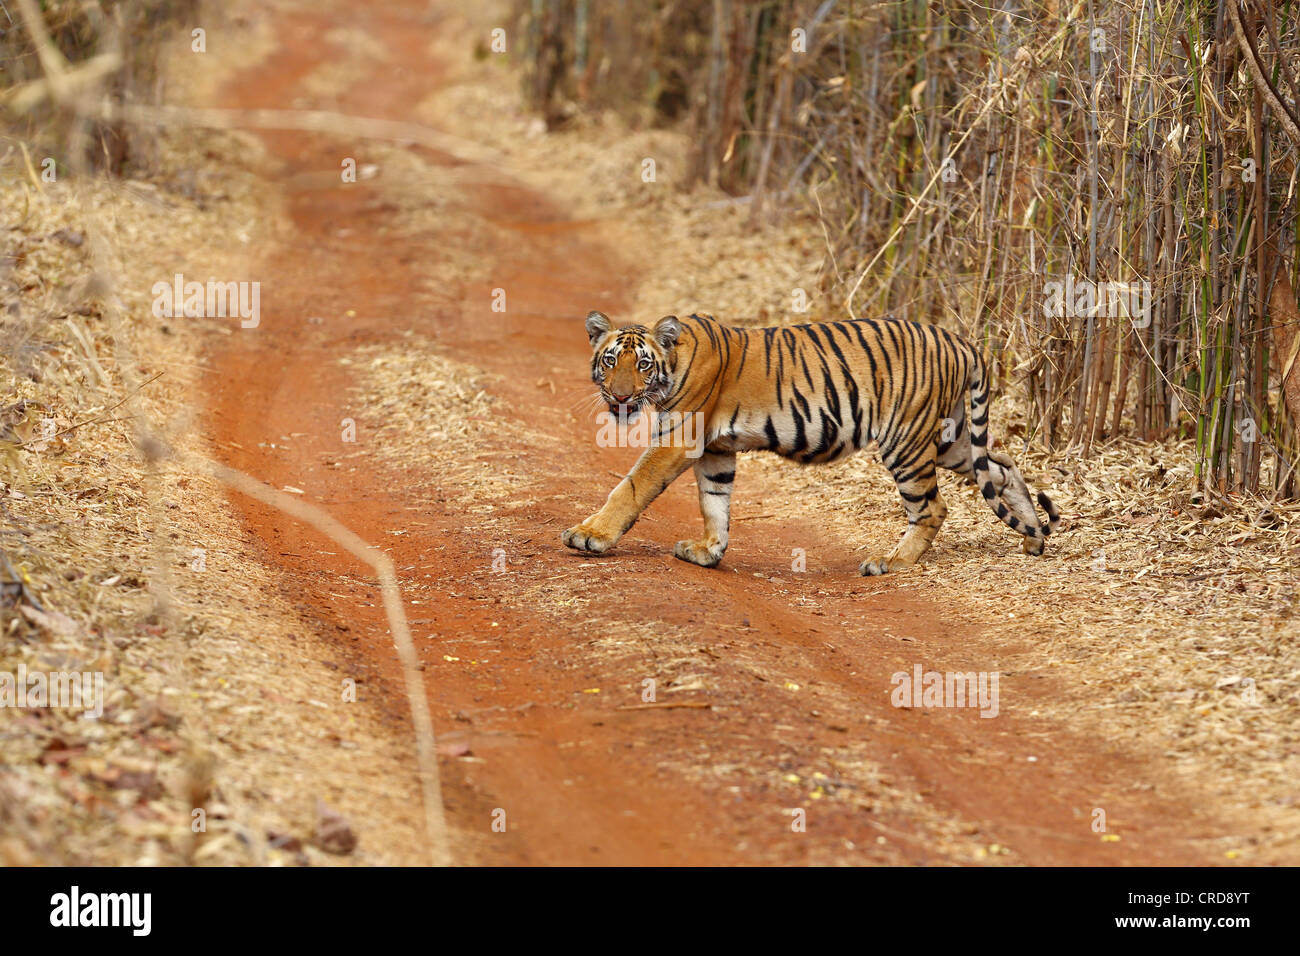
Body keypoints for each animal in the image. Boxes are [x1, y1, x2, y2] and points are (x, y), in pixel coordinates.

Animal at [562, 310, 1059, 575]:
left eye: (643, 365)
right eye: (610, 360)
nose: (619, 397)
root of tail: (962, 342)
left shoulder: (678, 439)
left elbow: (630, 487)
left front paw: (590, 536)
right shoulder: (716, 450)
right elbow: (714, 502)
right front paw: (709, 551)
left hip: (906, 440)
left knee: (933, 507)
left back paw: (892, 562)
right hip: (951, 437)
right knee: (1002, 466)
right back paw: (1033, 538)